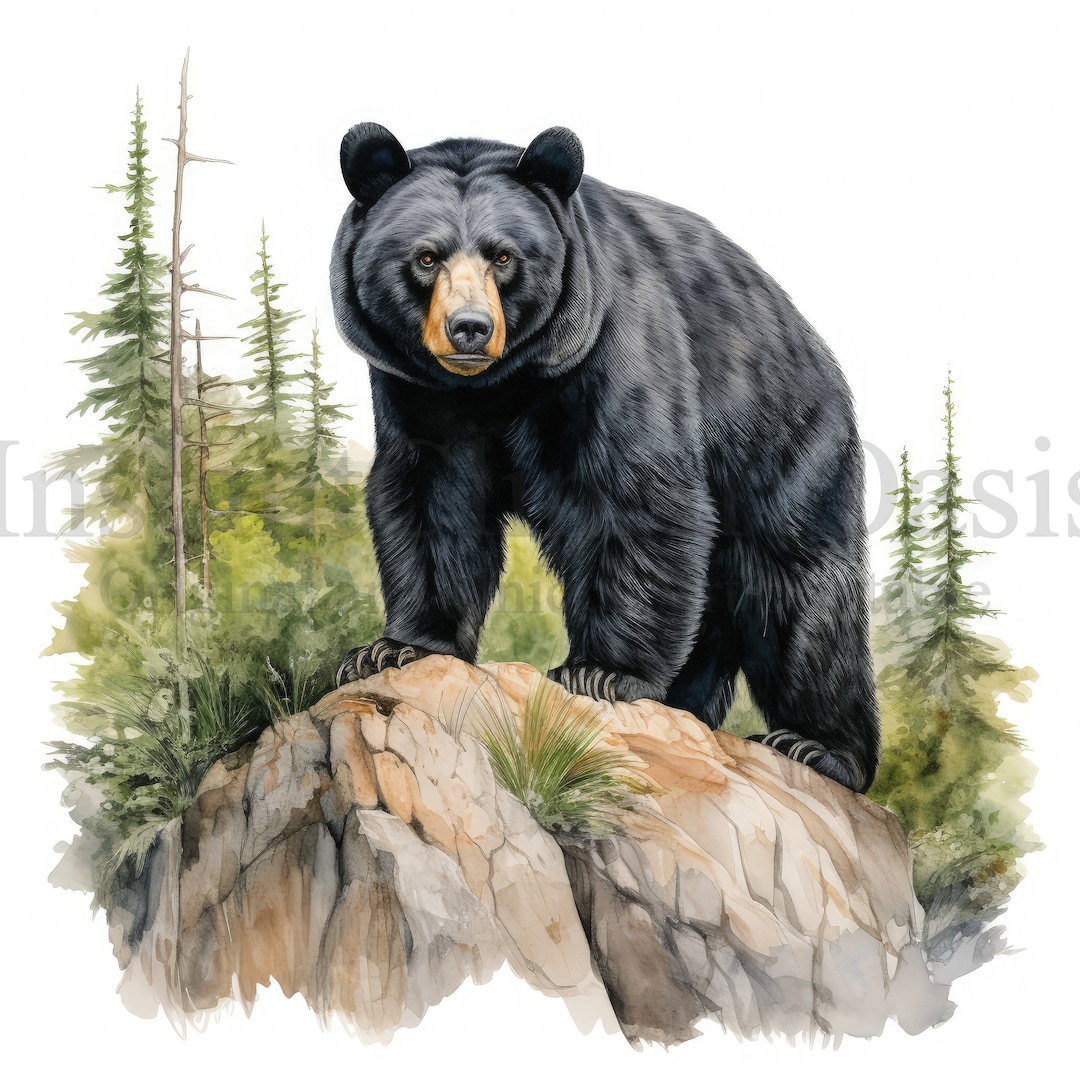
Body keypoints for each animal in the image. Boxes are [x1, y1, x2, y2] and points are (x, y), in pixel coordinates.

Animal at [329, 123, 880, 794]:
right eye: (427, 257)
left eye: (504, 256)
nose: (470, 328)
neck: (498, 385)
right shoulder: (418, 395)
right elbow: (432, 505)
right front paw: (397, 647)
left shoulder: (614, 345)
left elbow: (637, 495)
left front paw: (601, 671)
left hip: (783, 439)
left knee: (800, 592)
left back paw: (817, 745)